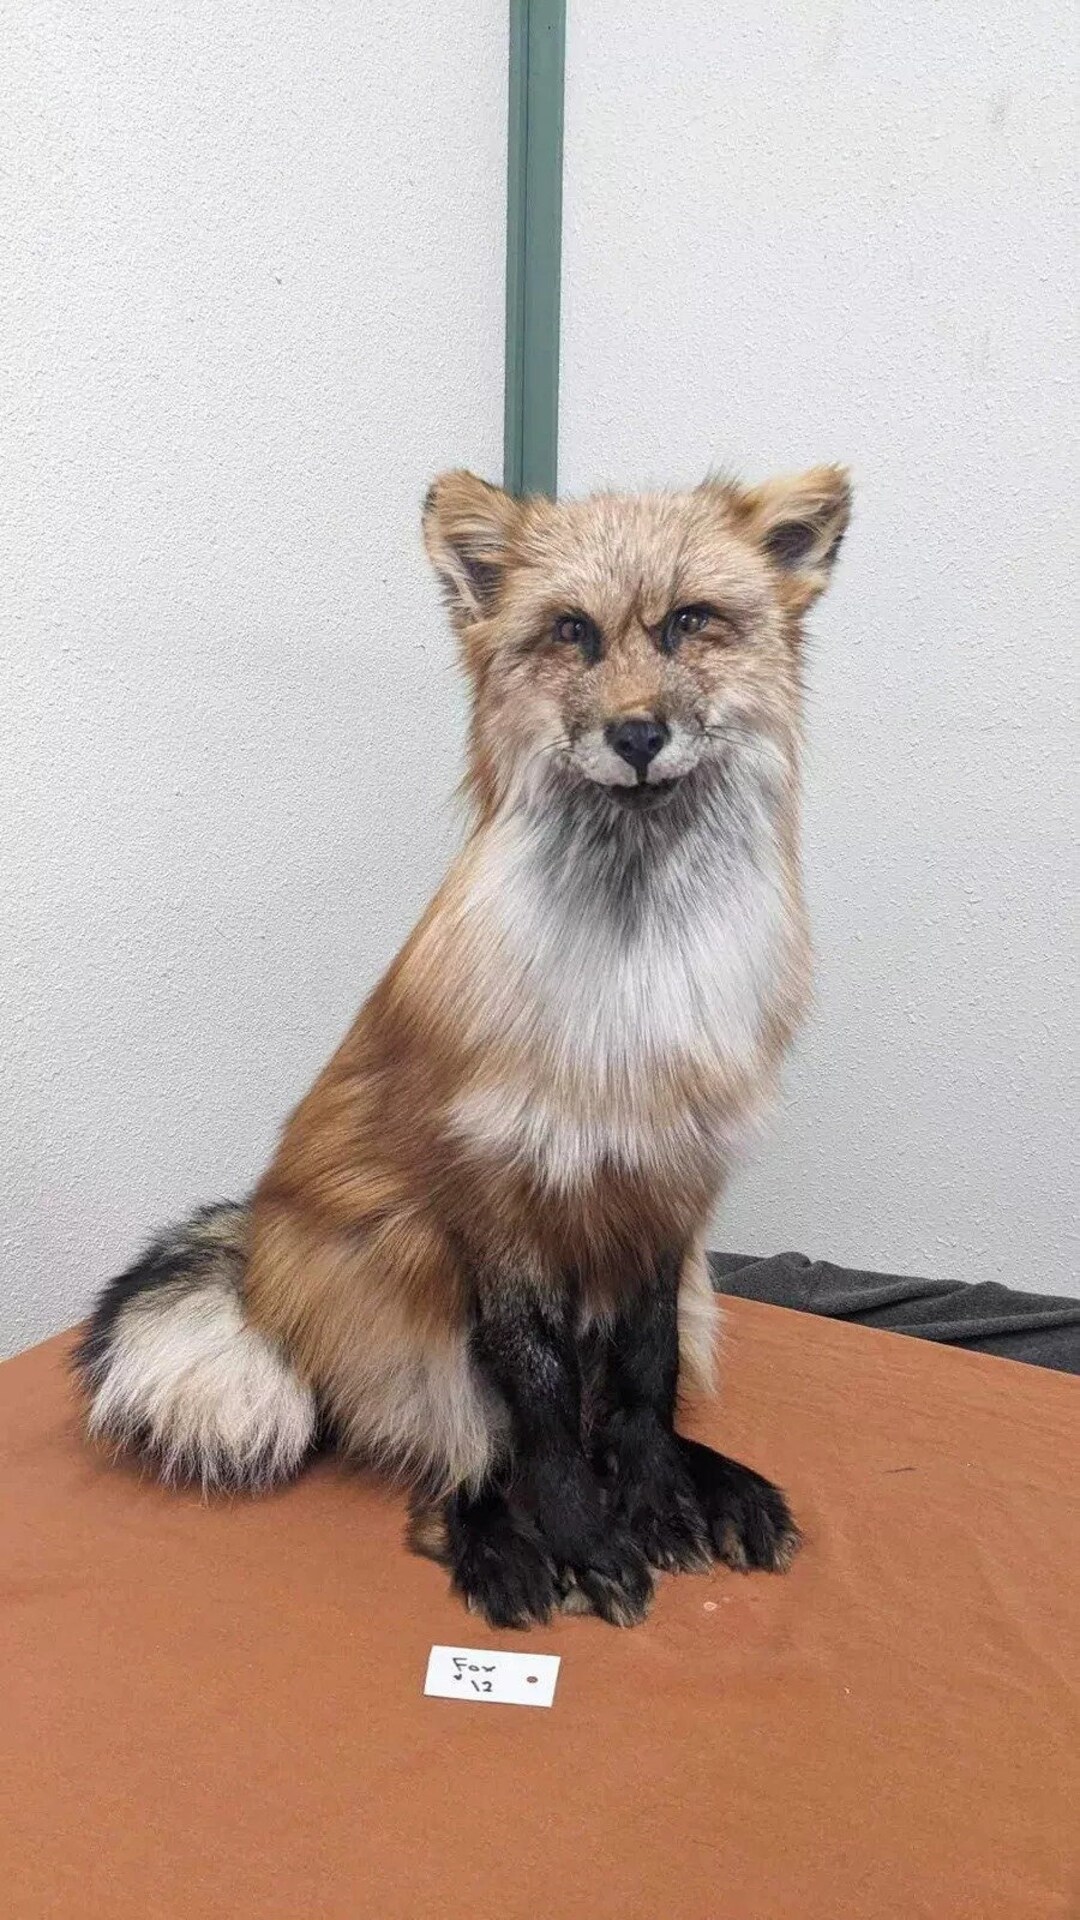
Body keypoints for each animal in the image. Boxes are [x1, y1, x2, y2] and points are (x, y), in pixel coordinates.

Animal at [75, 462, 850, 1629]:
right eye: (573, 632)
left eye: (688, 623)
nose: (636, 735)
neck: (630, 984)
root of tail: (258, 1255)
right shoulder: (496, 1200)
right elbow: (536, 1412)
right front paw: (585, 1539)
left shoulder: (670, 1191)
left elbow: (645, 1384)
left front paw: (658, 1501)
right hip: (413, 1298)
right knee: (458, 1463)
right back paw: (504, 1553)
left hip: (701, 1286)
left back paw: (712, 1488)